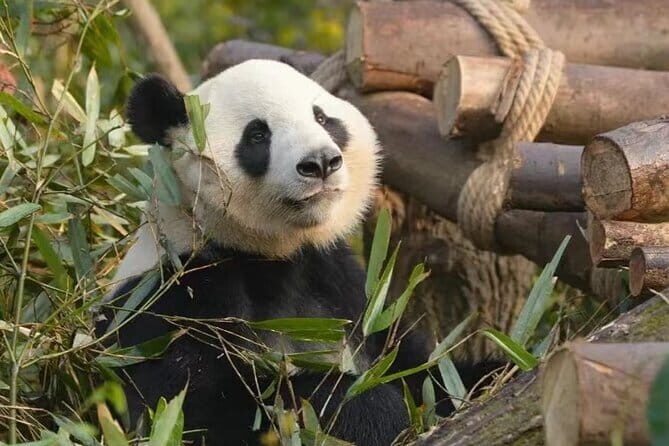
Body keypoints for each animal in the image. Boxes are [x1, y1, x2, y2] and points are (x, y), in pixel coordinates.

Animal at [100, 59, 486, 445]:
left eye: (322, 118)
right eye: (258, 135)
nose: (321, 162)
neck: (266, 252)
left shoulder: (341, 281)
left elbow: (422, 366)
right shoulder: (175, 299)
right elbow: (193, 411)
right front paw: (378, 411)